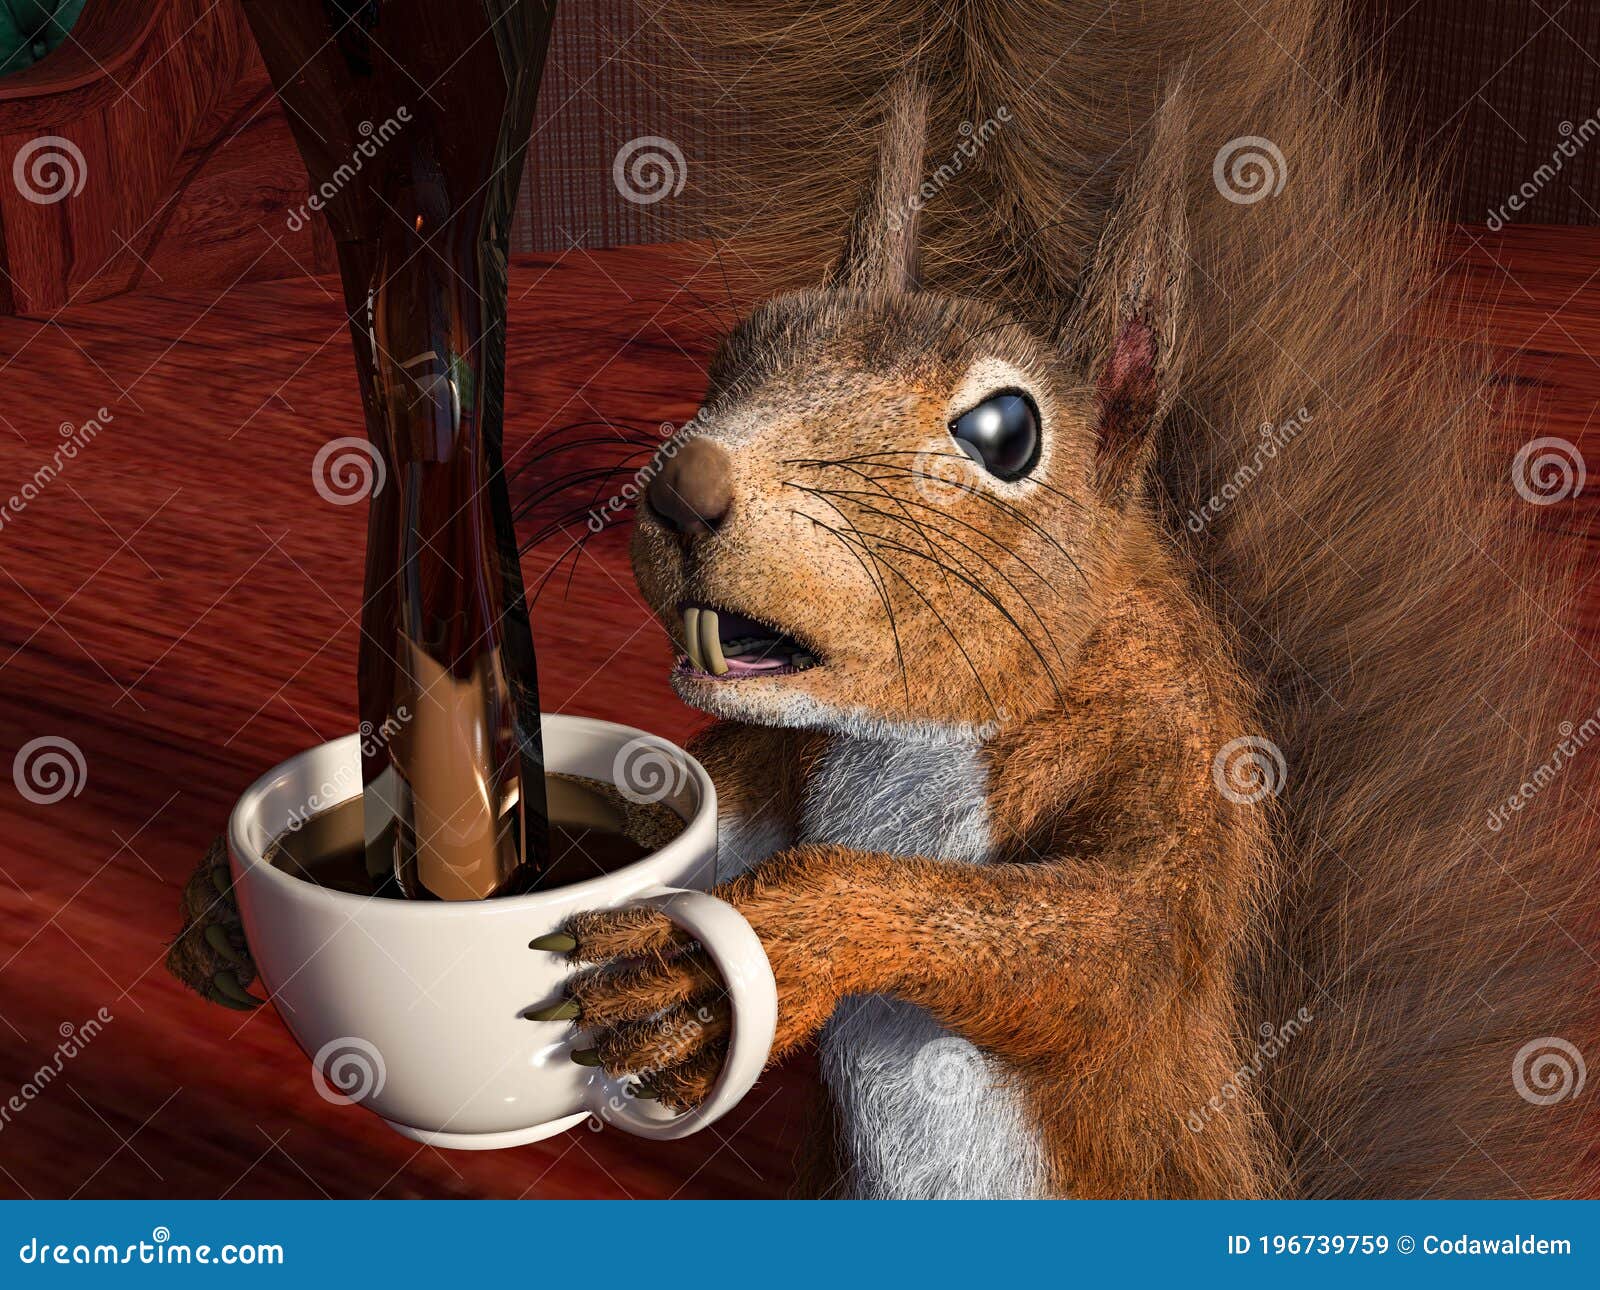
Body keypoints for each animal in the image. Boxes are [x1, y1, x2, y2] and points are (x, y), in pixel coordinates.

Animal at [173, 1, 1600, 1198]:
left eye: (1006, 431)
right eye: (740, 344)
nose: (685, 487)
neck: (915, 741)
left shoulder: (1181, 776)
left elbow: (1087, 938)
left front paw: (709, 979)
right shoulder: (792, 764)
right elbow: (719, 802)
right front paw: (223, 903)